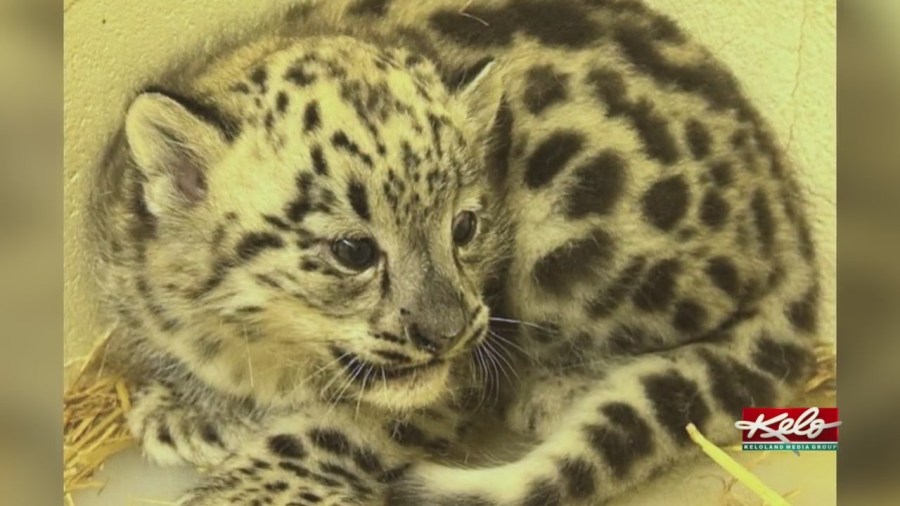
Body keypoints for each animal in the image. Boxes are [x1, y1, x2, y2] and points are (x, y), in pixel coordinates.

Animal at [92, 0, 823, 504]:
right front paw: (188, 411)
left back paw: (557, 388)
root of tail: (785, 197)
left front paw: (237, 488)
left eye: (465, 226)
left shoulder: (445, 385)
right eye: (353, 249)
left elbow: (336, 429)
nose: (448, 333)